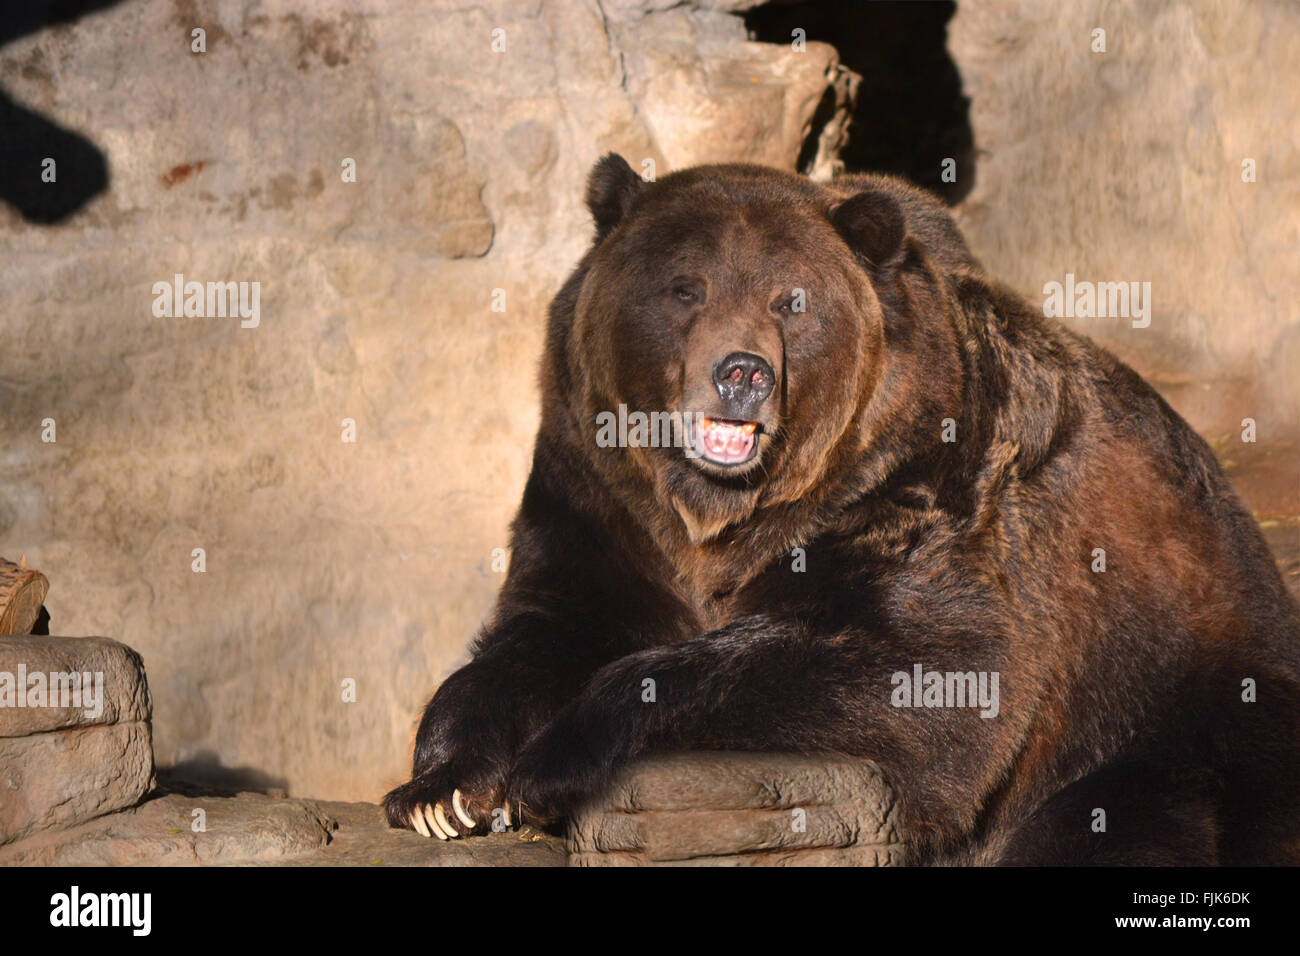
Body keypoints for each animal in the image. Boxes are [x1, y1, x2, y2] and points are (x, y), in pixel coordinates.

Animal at [383, 155, 1300, 865]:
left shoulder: (922, 500)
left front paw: (552, 759)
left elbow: (924, 669)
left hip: (1182, 700)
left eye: (791, 300)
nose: (742, 372)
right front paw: (440, 789)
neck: (717, 515)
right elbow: (540, 631)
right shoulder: (599, 496)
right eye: (685, 288)